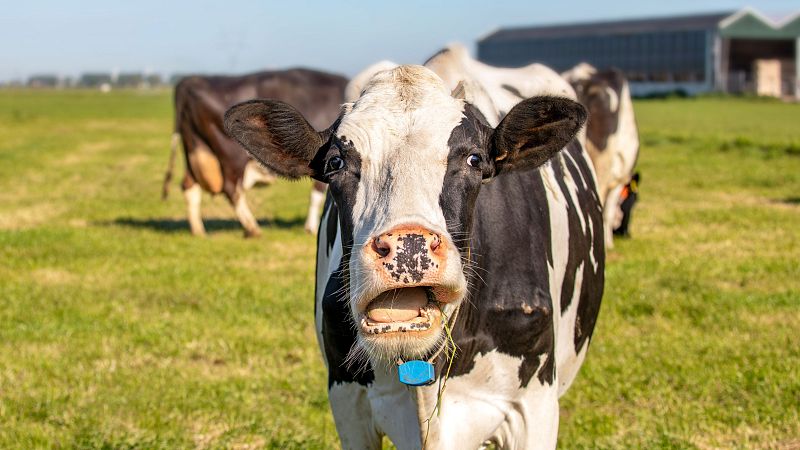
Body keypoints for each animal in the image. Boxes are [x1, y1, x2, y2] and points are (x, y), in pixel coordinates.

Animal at [161, 68, 346, 237]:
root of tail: (192, 80)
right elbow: (317, 194)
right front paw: (312, 229)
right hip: (231, 156)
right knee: (231, 189)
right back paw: (252, 228)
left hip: (196, 149)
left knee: (189, 185)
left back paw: (199, 231)